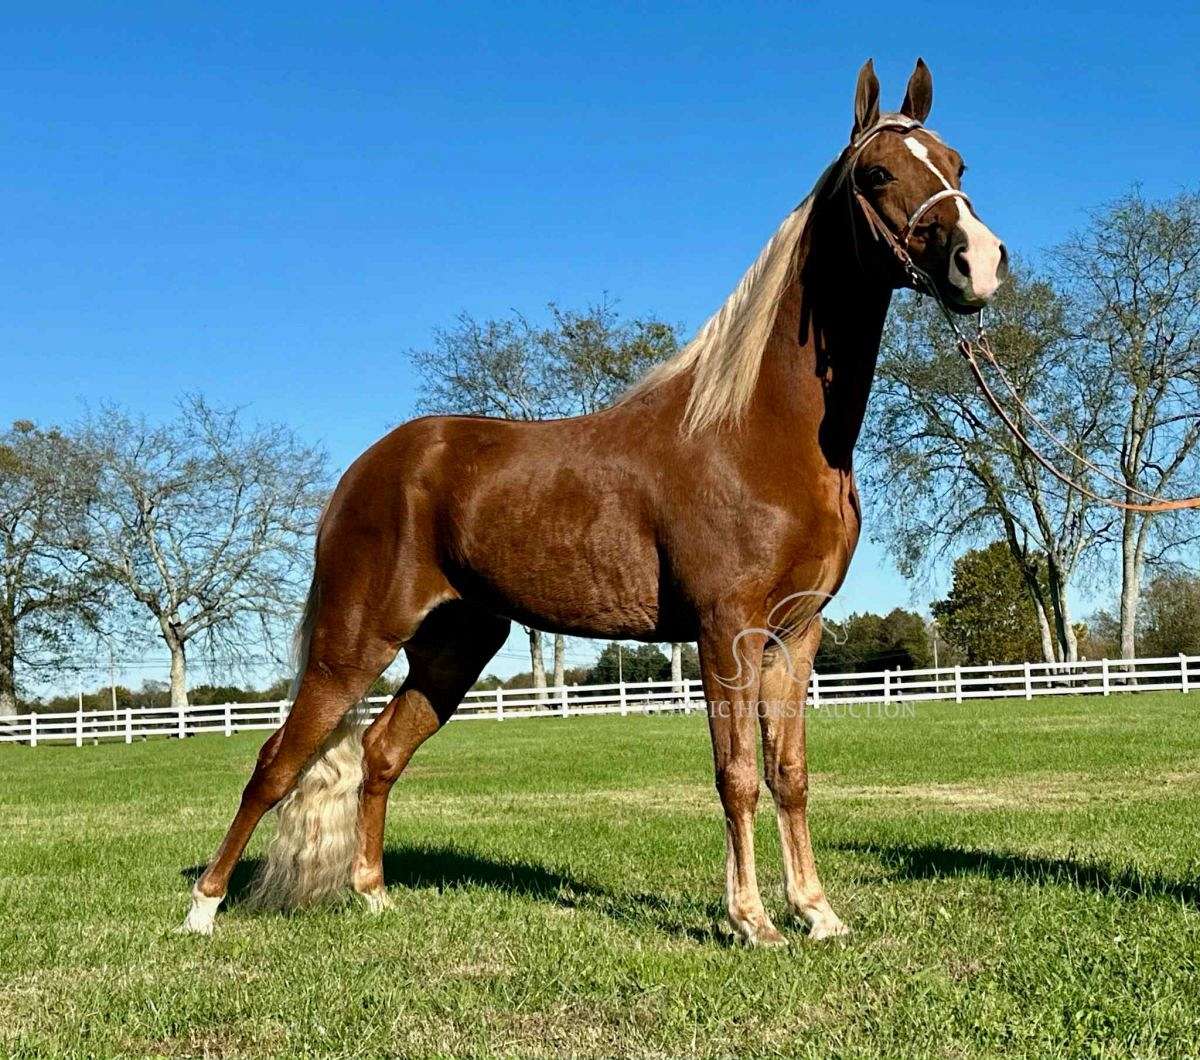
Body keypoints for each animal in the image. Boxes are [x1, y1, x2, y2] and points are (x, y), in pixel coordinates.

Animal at [180, 58, 1006, 945]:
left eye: (958, 165)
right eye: (877, 173)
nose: (981, 262)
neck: (758, 429)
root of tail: (369, 468)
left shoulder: (797, 632)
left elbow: (789, 773)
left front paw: (817, 913)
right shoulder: (727, 626)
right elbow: (737, 775)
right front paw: (751, 921)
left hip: (452, 648)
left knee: (379, 753)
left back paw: (373, 894)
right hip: (352, 643)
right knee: (275, 762)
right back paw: (204, 909)